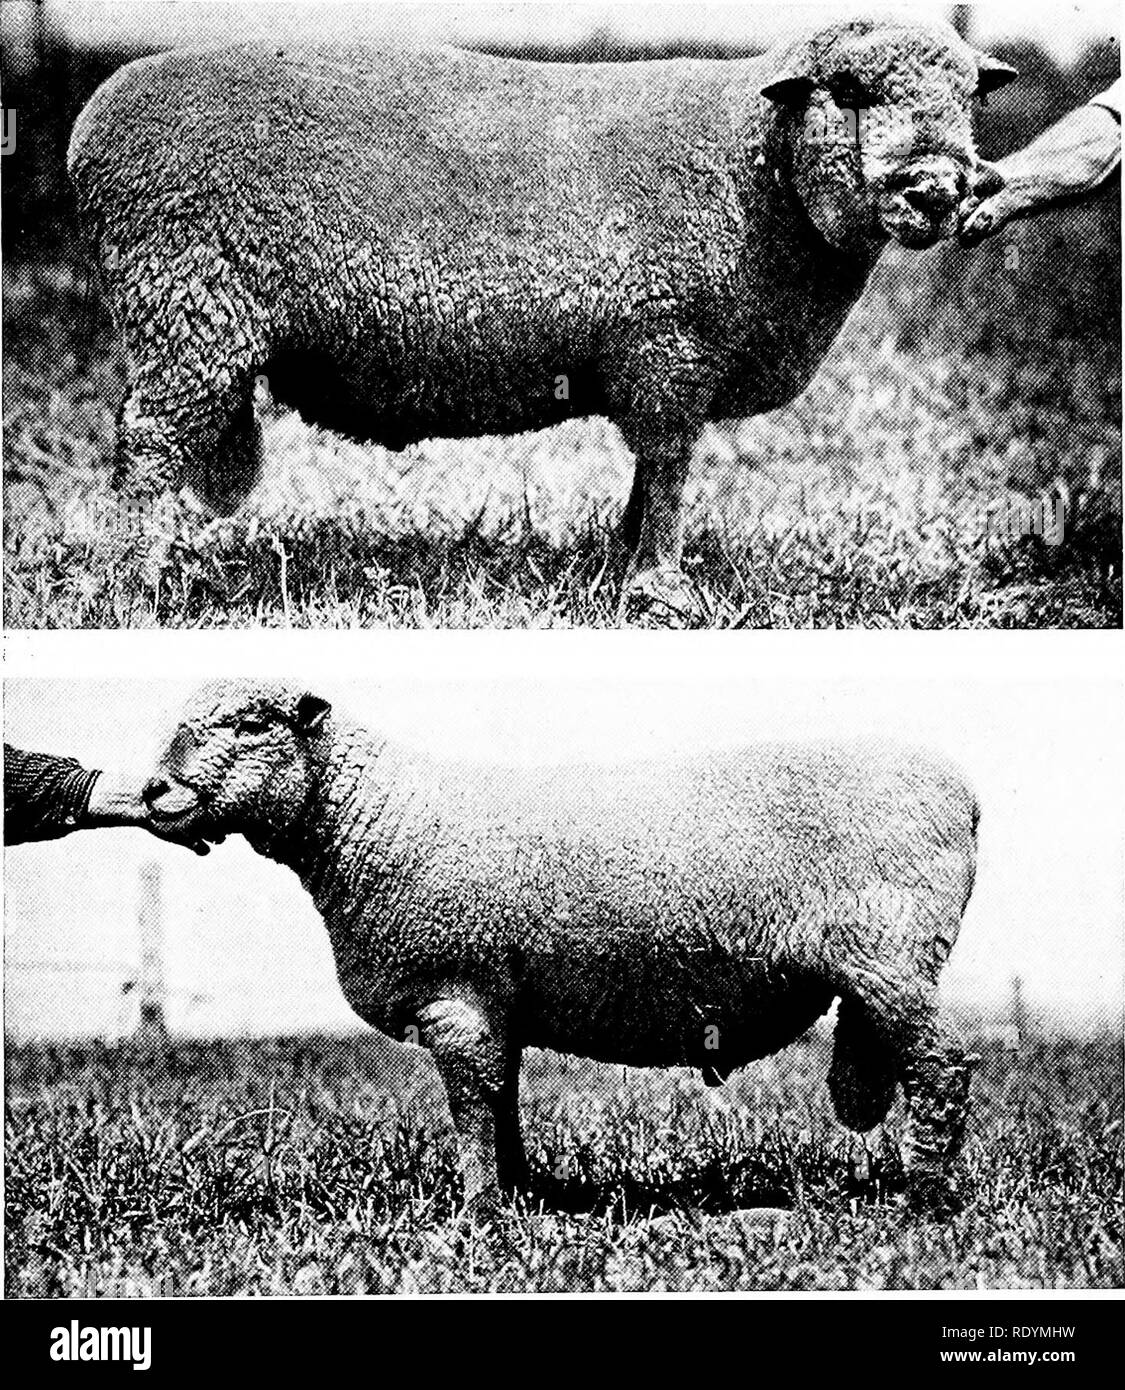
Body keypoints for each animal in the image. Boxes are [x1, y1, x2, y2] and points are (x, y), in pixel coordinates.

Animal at [68, 18, 1015, 623]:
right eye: (849, 90)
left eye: (969, 94)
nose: (935, 188)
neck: (755, 164)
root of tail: (94, 123)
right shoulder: (667, 344)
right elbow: (668, 466)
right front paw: (658, 588)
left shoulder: (663, 361)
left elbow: (650, 477)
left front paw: (623, 563)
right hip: (186, 310)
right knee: (149, 447)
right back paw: (129, 584)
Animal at [143, 679, 982, 1216]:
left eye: (252, 725)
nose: (154, 790)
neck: (374, 819)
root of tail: (962, 794)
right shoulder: (494, 1007)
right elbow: (501, 1102)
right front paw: (520, 1195)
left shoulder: (457, 993)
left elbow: (473, 1106)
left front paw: (480, 1212)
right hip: (882, 967)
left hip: (892, 954)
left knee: (941, 1067)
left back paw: (926, 1201)